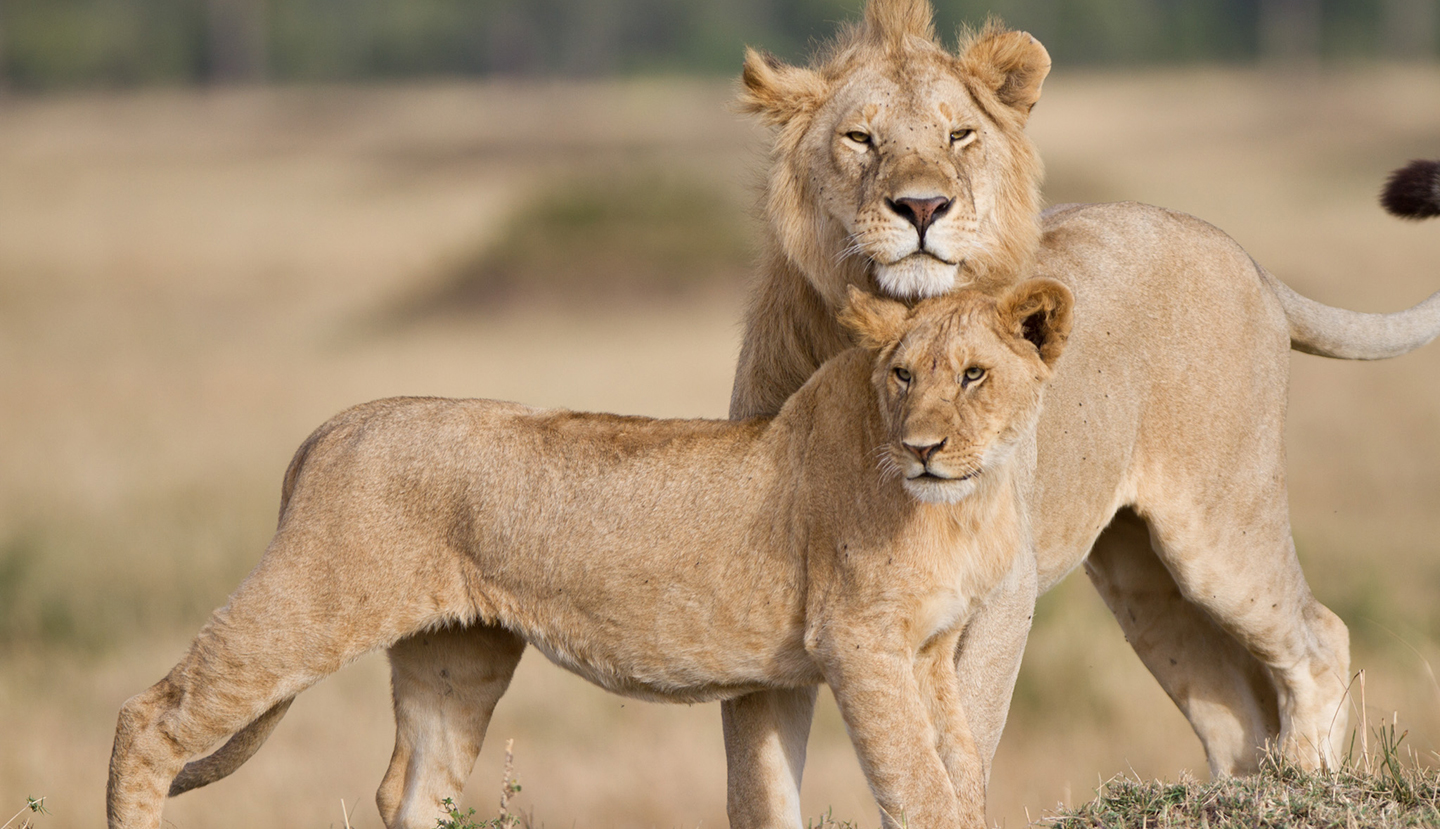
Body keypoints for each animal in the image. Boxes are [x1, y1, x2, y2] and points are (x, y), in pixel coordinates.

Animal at [107, 280, 1074, 829]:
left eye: (974, 374)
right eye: (902, 375)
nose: (922, 447)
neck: (964, 503)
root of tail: (339, 421)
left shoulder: (930, 651)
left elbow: (960, 766)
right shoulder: (859, 643)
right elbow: (919, 785)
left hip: (458, 657)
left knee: (413, 790)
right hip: (313, 599)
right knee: (150, 717)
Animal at [711, 2, 1440, 826]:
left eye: (958, 135)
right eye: (860, 138)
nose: (924, 206)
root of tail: (1247, 258)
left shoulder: (1004, 587)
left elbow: (964, 733)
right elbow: (757, 784)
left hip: (1219, 529)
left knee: (1320, 638)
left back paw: (1309, 784)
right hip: (1142, 580)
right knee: (1233, 711)